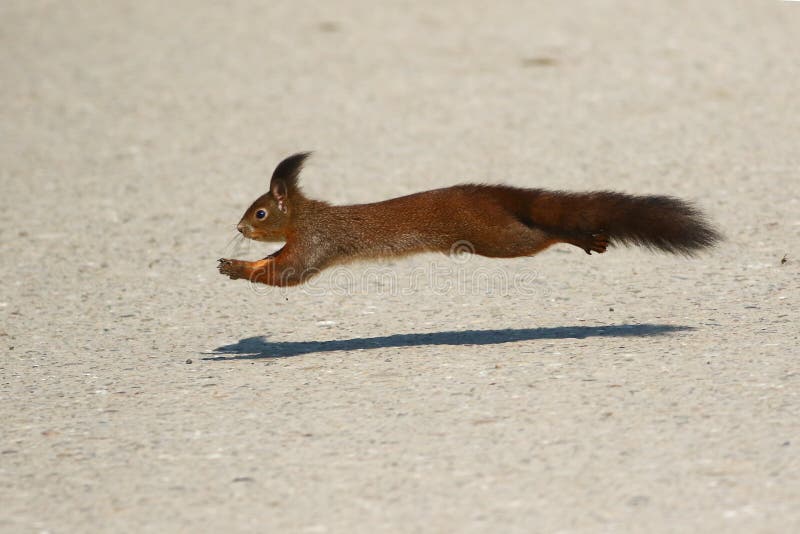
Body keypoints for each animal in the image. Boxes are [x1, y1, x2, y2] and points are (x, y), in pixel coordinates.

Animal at [218, 152, 720, 287]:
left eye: (260, 211)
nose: (240, 229)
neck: (303, 217)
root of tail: (495, 196)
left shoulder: (316, 242)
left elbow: (288, 273)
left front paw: (237, 268)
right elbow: (276, 266)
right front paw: (237, 265)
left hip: (495, 236)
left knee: (541, 234)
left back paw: (583, 238)